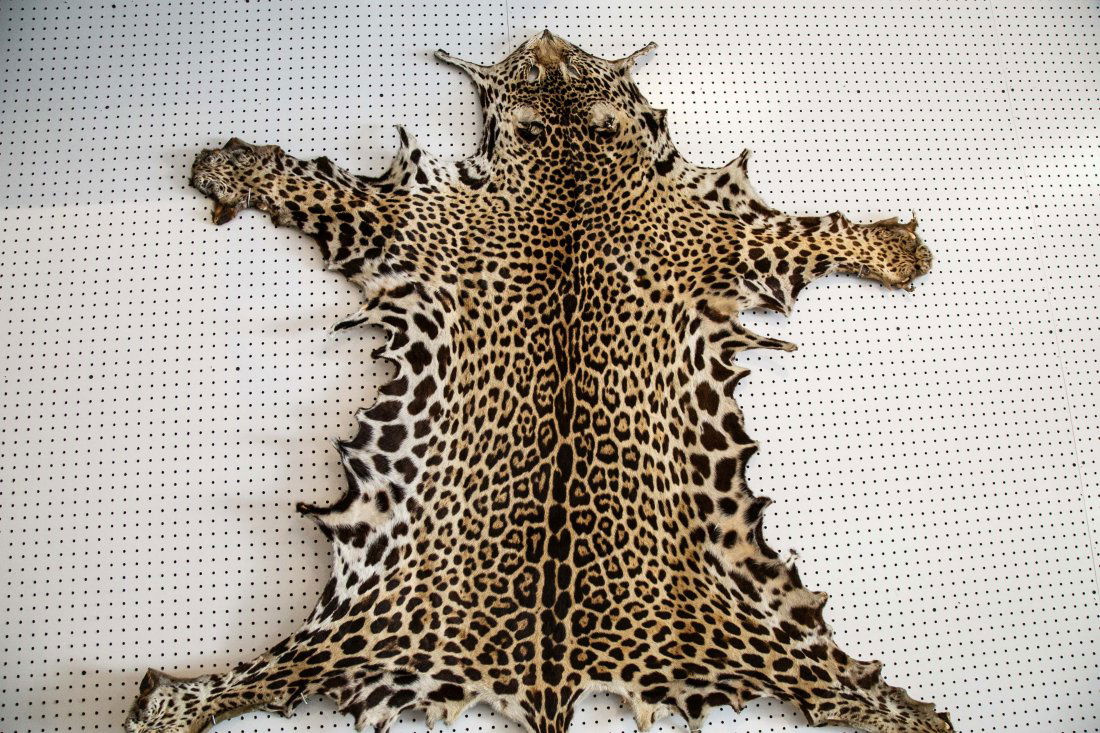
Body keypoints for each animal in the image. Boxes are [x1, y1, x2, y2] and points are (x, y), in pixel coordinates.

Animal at [126, 31, 950, 733]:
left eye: (591, 77)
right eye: (526, 82)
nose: (549, 41)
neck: (568, 169)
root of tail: (550, 680)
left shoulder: (730, 235)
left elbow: (812, 231)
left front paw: (891, 247)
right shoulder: (404, 216)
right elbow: (318, 187)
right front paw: (228, 166)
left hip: (760, 622)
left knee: (834, 683)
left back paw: (906, 710)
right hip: (349, 624)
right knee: (261, 677)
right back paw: (175, 698)